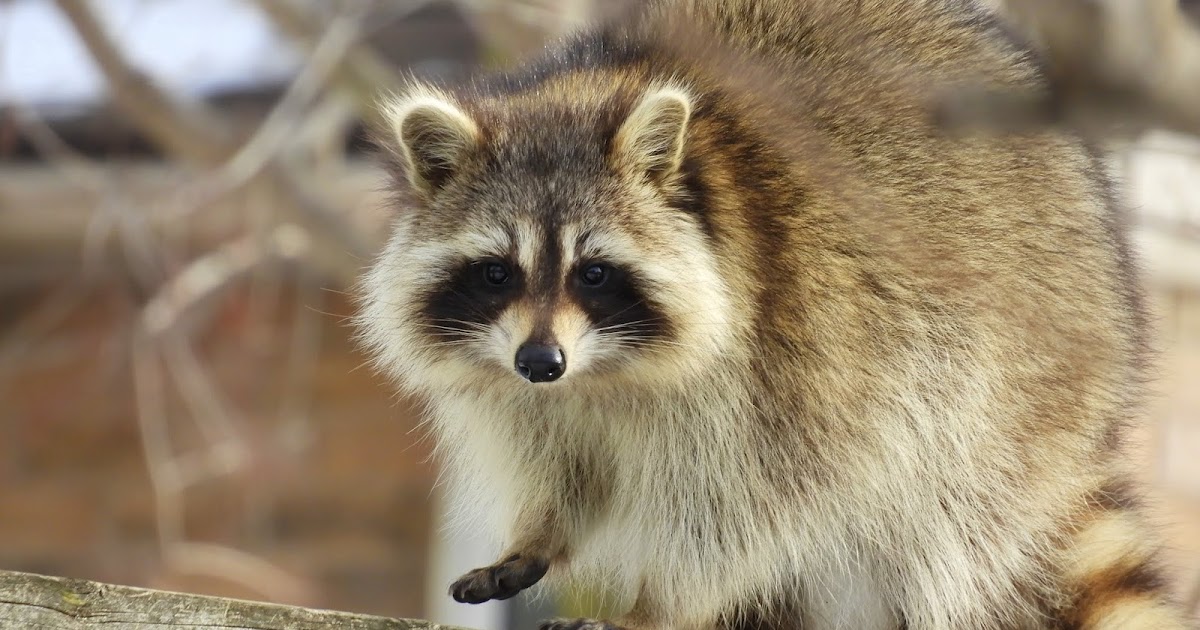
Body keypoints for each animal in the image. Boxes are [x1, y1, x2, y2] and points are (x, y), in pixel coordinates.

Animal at [357, 0, 1192, 628]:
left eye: (593, 273)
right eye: (497, 272)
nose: (540, 362)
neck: (608, 373)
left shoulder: (791, 358)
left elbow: (734, 514)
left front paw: (657, 607)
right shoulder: (524, 391)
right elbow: (560, 462)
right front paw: (539, 534)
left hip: (1004, 404)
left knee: (947, 525)